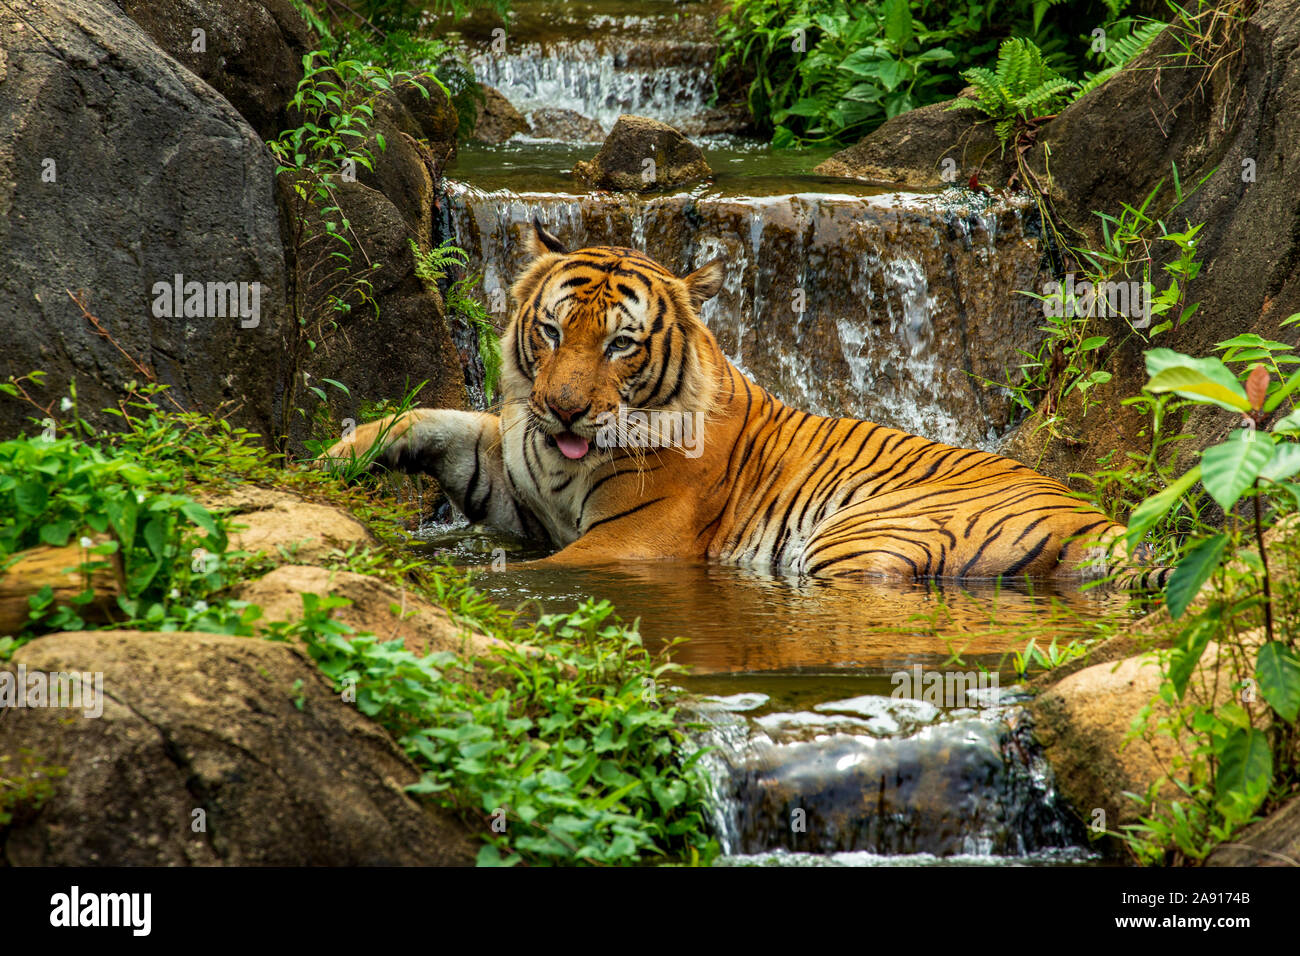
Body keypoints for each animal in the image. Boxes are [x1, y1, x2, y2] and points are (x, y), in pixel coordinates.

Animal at [323, 219, 1147, 583]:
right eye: (552, 330)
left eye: (621, 345)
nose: (562, 409)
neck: (563, 462)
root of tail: (1101, 520)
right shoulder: (517, 485)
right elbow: (439, 421)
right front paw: (340, 456)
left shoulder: (633, 539)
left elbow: (551, 568)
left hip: (862, 539)